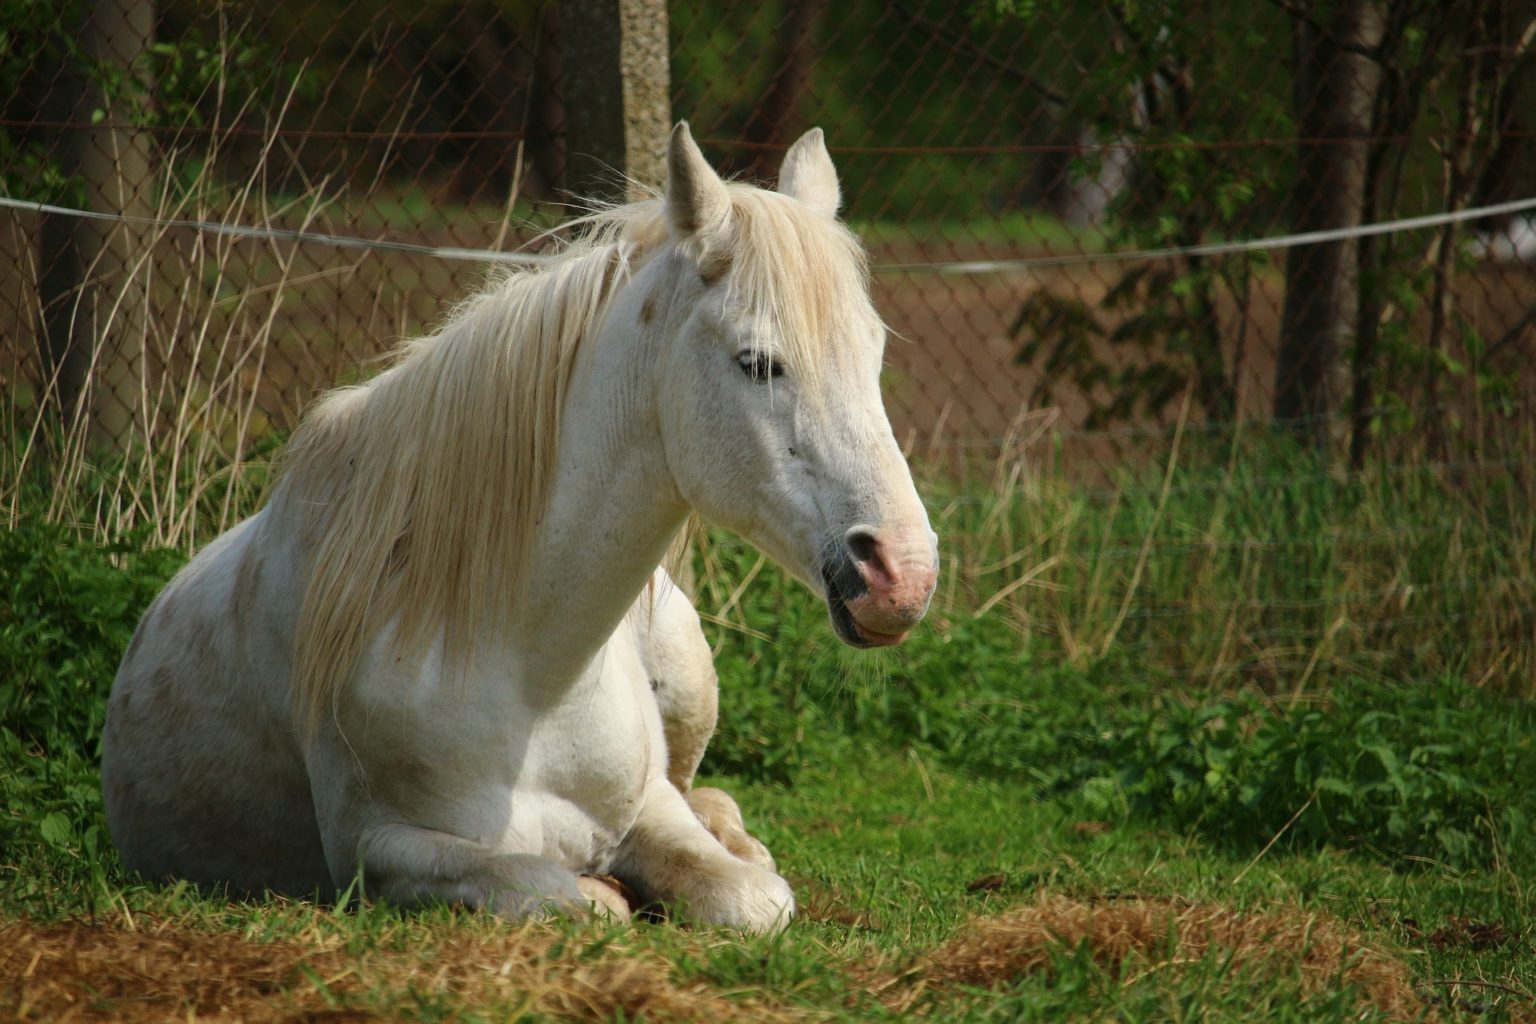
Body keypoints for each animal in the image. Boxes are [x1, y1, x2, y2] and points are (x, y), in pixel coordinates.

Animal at [100, 123, 939, 934]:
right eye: (757, 363)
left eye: (875, 351)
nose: (903, 574)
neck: (533, 677)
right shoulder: (376, 849)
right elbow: (564, 894)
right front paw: (607, 887)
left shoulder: (651, 805)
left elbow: (753, 898)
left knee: (710, 795)